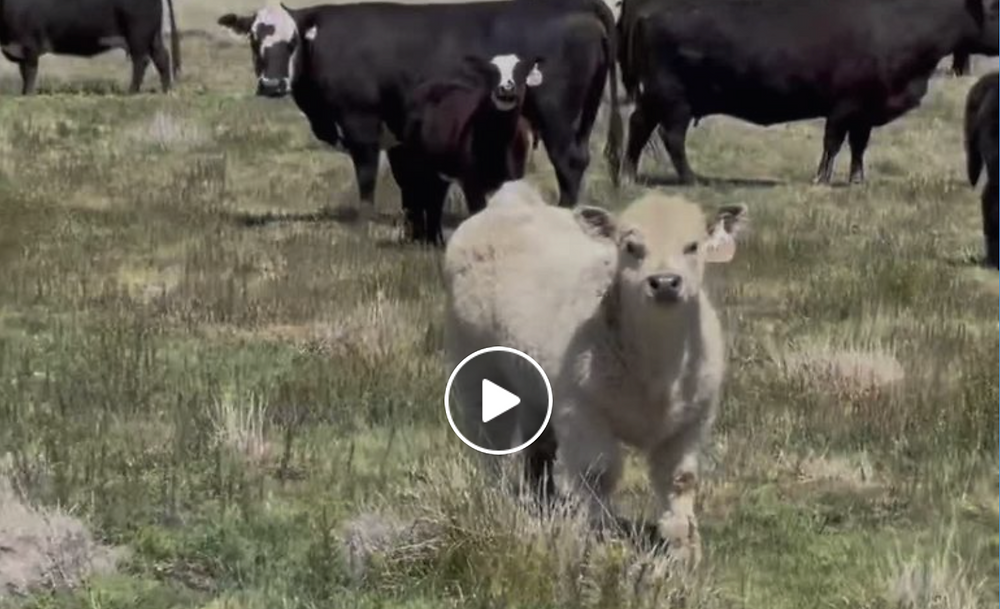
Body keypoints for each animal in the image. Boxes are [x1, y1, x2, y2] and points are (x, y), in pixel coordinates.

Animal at [0, 0, 181, 95]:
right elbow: (24, 73)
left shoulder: (29, 45)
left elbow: (30, 72)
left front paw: (27, 95)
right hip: (153, 36)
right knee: (162, 57)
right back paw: (166, 90)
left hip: (138, 34)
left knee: (141, 61)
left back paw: (131, 92)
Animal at [217, 1, 622, 222]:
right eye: (254, 39)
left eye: (292, 42)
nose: (272, 85)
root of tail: (580, 5)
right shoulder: (400, 137)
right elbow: (408, 184)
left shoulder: (360, 121)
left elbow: (366, 175)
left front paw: (364, 221)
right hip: (581, 117)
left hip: (557, 117)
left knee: (568, 163)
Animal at [389, 53, 544, 244]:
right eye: (491, 72)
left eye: (521, 71)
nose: (507, 88)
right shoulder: (471, 179)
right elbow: (478, 212)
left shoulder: (513, 177)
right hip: (415, 161)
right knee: (416, 193)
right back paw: (419, 238)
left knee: (435, 199)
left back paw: (434, 240)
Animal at [443, 180, 747, 566]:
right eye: (631, 247)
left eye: (692, 246)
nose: (665, 282)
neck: (657, 371)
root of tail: (508, 201)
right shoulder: (581, 412)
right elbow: (598, 474)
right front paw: (603, 542)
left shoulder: (692, 422)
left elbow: (680, 479)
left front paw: (683, 550)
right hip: (476, 367)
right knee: (489, 442)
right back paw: (496, 502)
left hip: (535, 388)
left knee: (538, 448)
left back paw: (544, 502)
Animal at [617, 0, 999, 186]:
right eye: (995, 8)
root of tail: (645, 8)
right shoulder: (845, 104)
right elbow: (833, 142)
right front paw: (822, 178)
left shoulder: (866, 110)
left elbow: (859, 145)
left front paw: (857, 179)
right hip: (673, 98)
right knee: (670, 137)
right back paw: (691, 178)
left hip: (657, 98)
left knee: (638, 126)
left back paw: (629, 175)